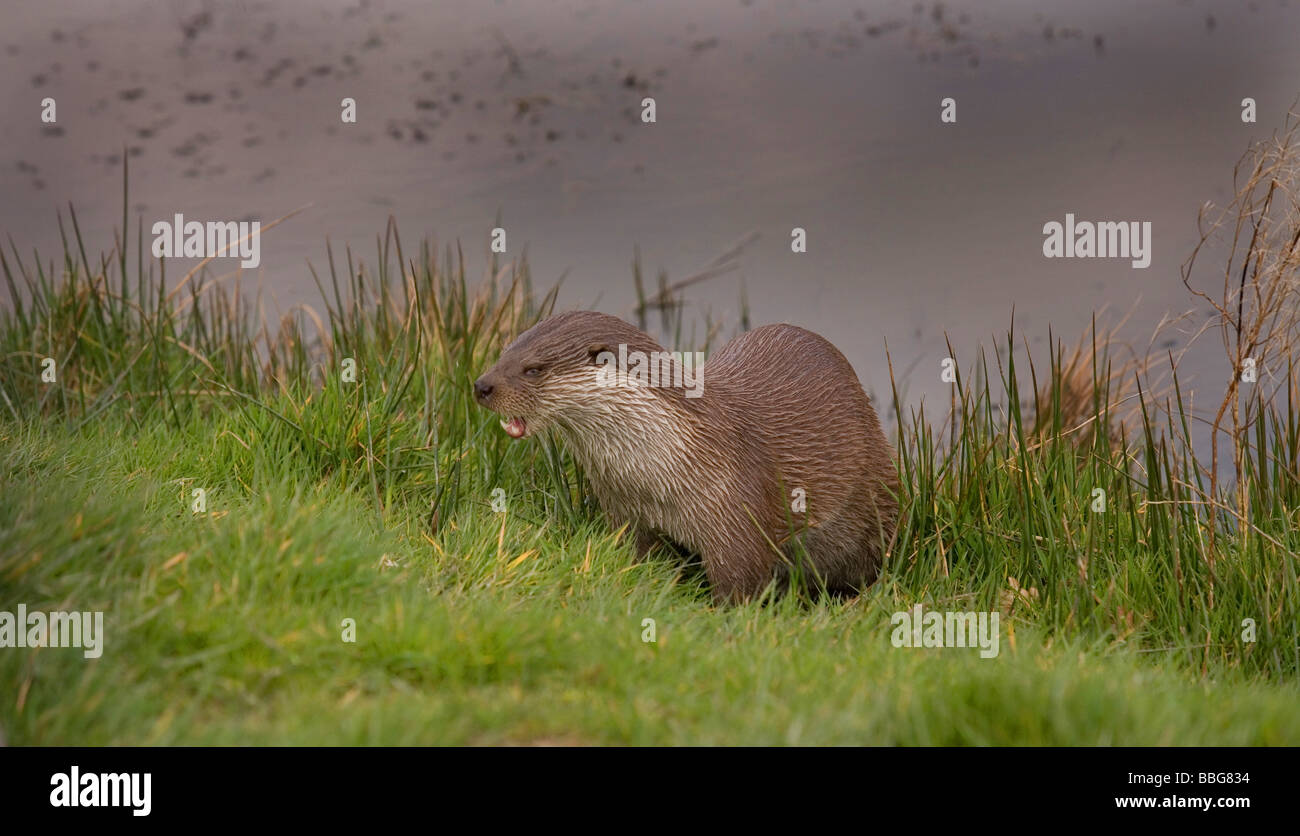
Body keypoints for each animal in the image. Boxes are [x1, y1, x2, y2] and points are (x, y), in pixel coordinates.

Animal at [473, 310, 898, 603]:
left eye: (533, 369)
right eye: (502, 353)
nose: (481, 385)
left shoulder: (736, 517)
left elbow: (739, 586)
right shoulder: (624, 509)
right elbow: (636, 553)